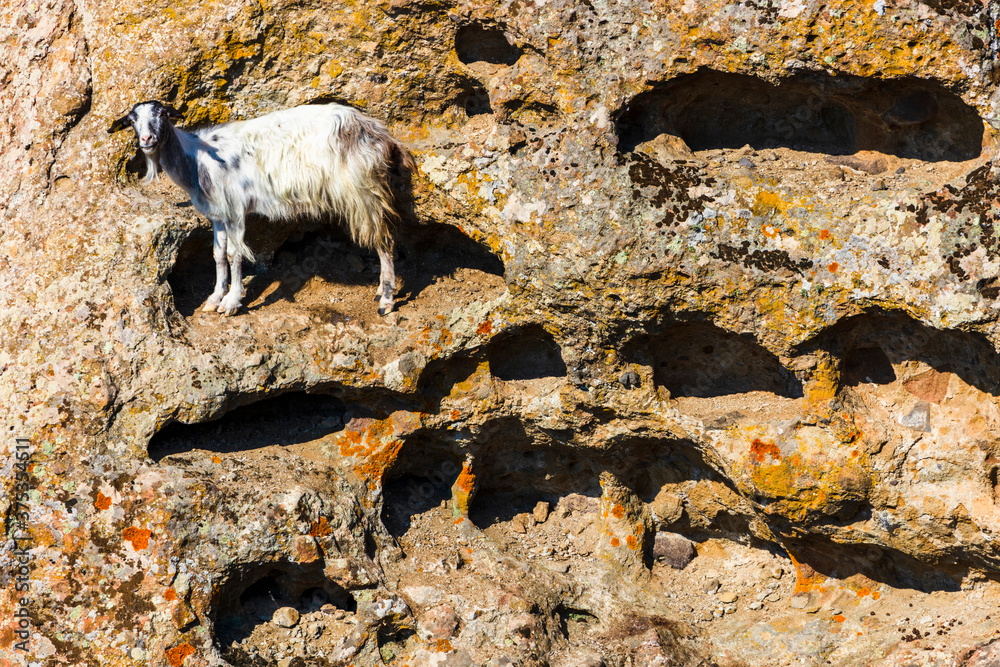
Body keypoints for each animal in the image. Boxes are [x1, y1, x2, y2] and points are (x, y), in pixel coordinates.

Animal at [108, 100, 413, 316]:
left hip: (364, 190)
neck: (196, 160)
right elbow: (218, 255)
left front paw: (231, 302)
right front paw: (214, 298)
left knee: (384, 239)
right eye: (132, 120)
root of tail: (378, 132)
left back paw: (386, 301)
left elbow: (235, 255)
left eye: (162, 114)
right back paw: (381, 292)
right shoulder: (217, 214)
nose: (147, 140)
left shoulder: (235, 210)